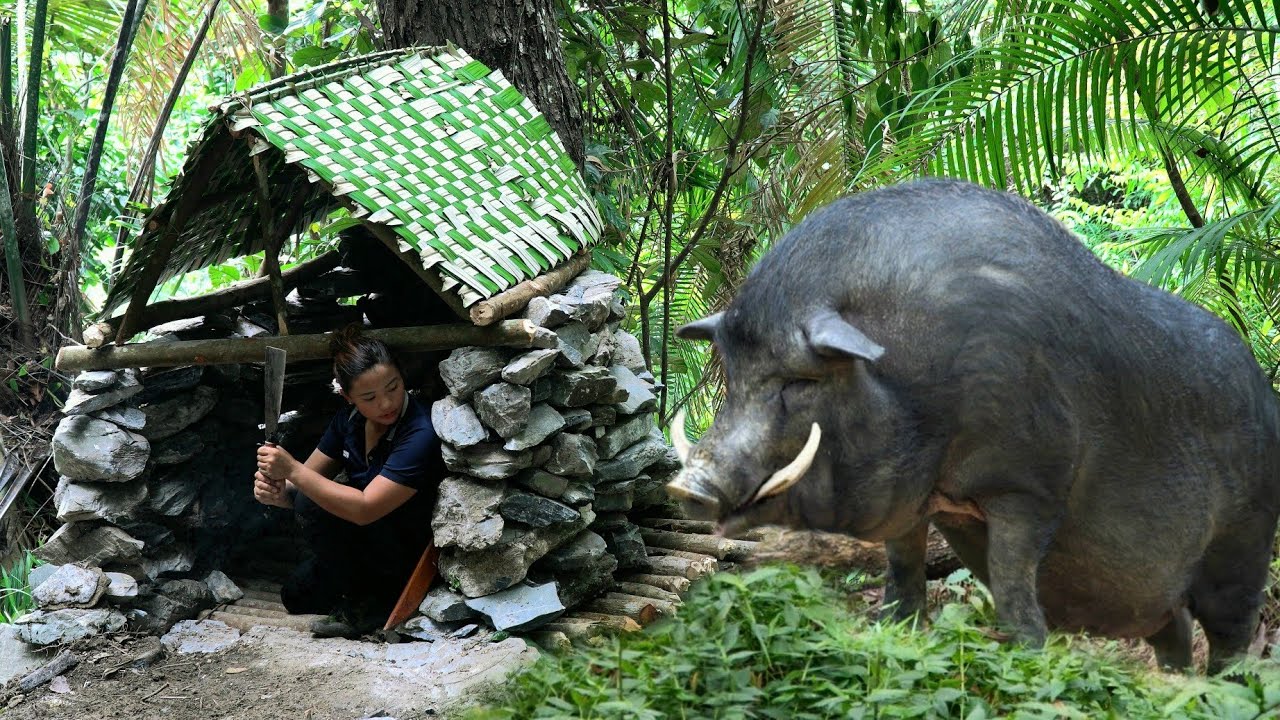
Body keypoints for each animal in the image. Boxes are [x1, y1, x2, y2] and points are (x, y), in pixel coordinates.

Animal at [667, 179, 1280, 672]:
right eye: (731, 368)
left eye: (800, 381)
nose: (688, 487)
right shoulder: (913, 501)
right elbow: (902, 575)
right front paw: (893, 635)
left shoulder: (1029, 487)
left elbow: (1012, 592)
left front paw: (1028, 661)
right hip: (1162, 599)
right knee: (1173, 633)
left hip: (1244, 543)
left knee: (1233, 636)